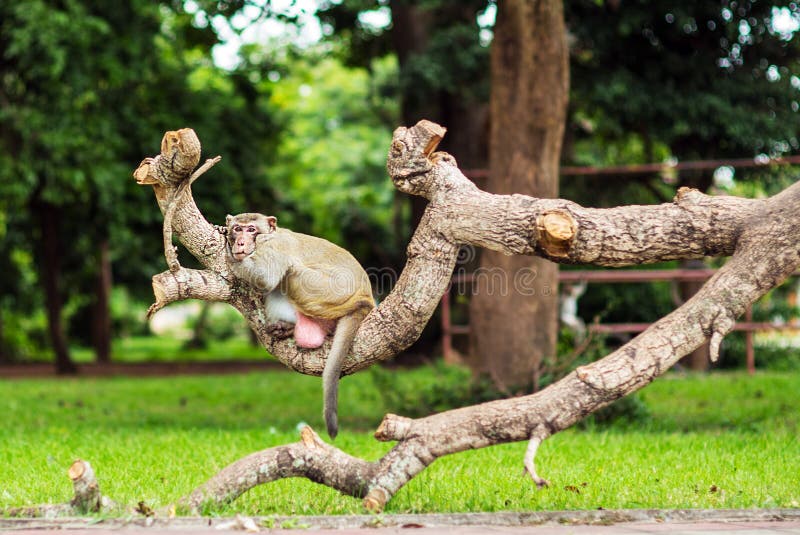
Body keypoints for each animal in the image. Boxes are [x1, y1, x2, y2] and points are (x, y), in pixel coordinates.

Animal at [225, 213, 374, 439]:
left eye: (251, 229)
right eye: (237, 228)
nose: (240, 242)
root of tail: (364, 300)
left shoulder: (274, 244)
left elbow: (265, 277)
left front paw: (230, 254)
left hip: (327, 290)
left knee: (290, 272)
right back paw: (288, 328)